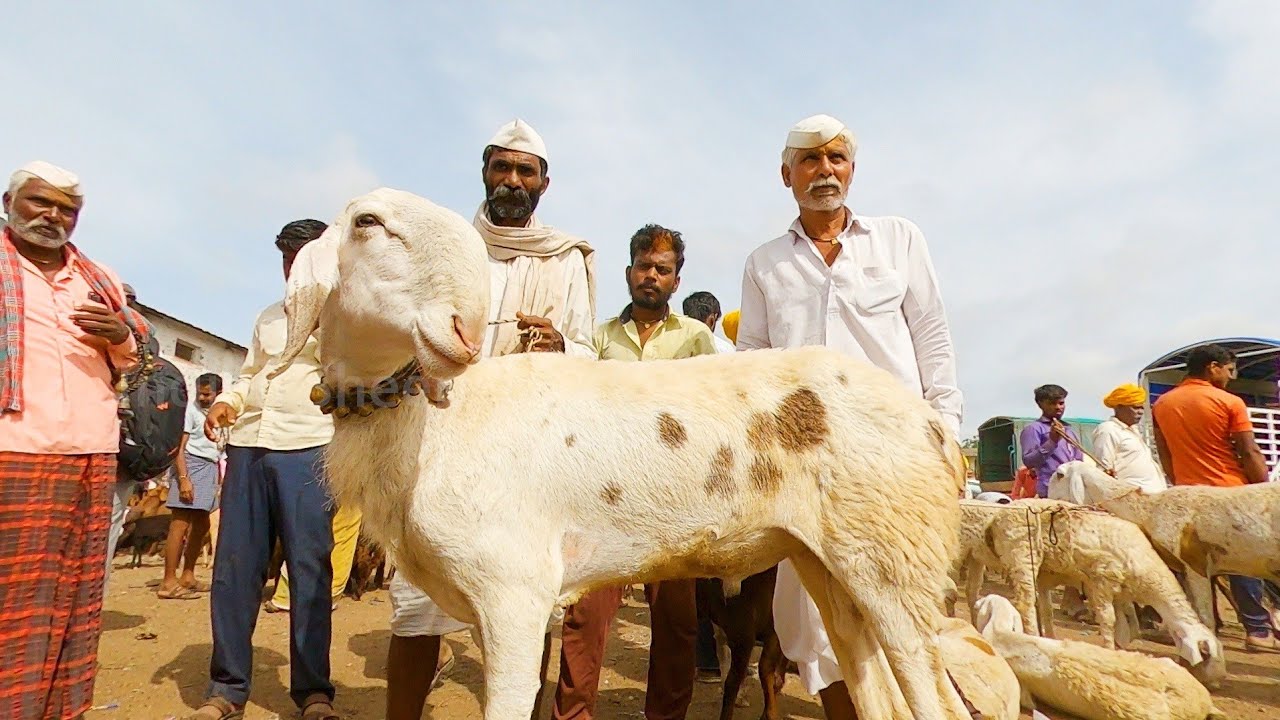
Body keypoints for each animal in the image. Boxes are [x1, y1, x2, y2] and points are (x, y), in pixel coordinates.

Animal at [267, 188, 975, 720]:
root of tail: (935, 427)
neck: (437, 428)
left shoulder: (513, 593)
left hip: (895, 562)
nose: (462, 334)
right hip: (833, 568)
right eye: (367, 224)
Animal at [980, 498, 1225, 686]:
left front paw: (1121, 645)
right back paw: (1032, 635)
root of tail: (995, 519)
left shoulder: (1121, 592)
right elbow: (1109, 620)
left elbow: (1128, 624)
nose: (1214, 684)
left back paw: (1049, 638)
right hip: (1021, 555)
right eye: (1205, 654)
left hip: (1042, 568)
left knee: (1045, 608)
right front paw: (1109, 649)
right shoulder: (1101, 579)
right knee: (1026, 603)